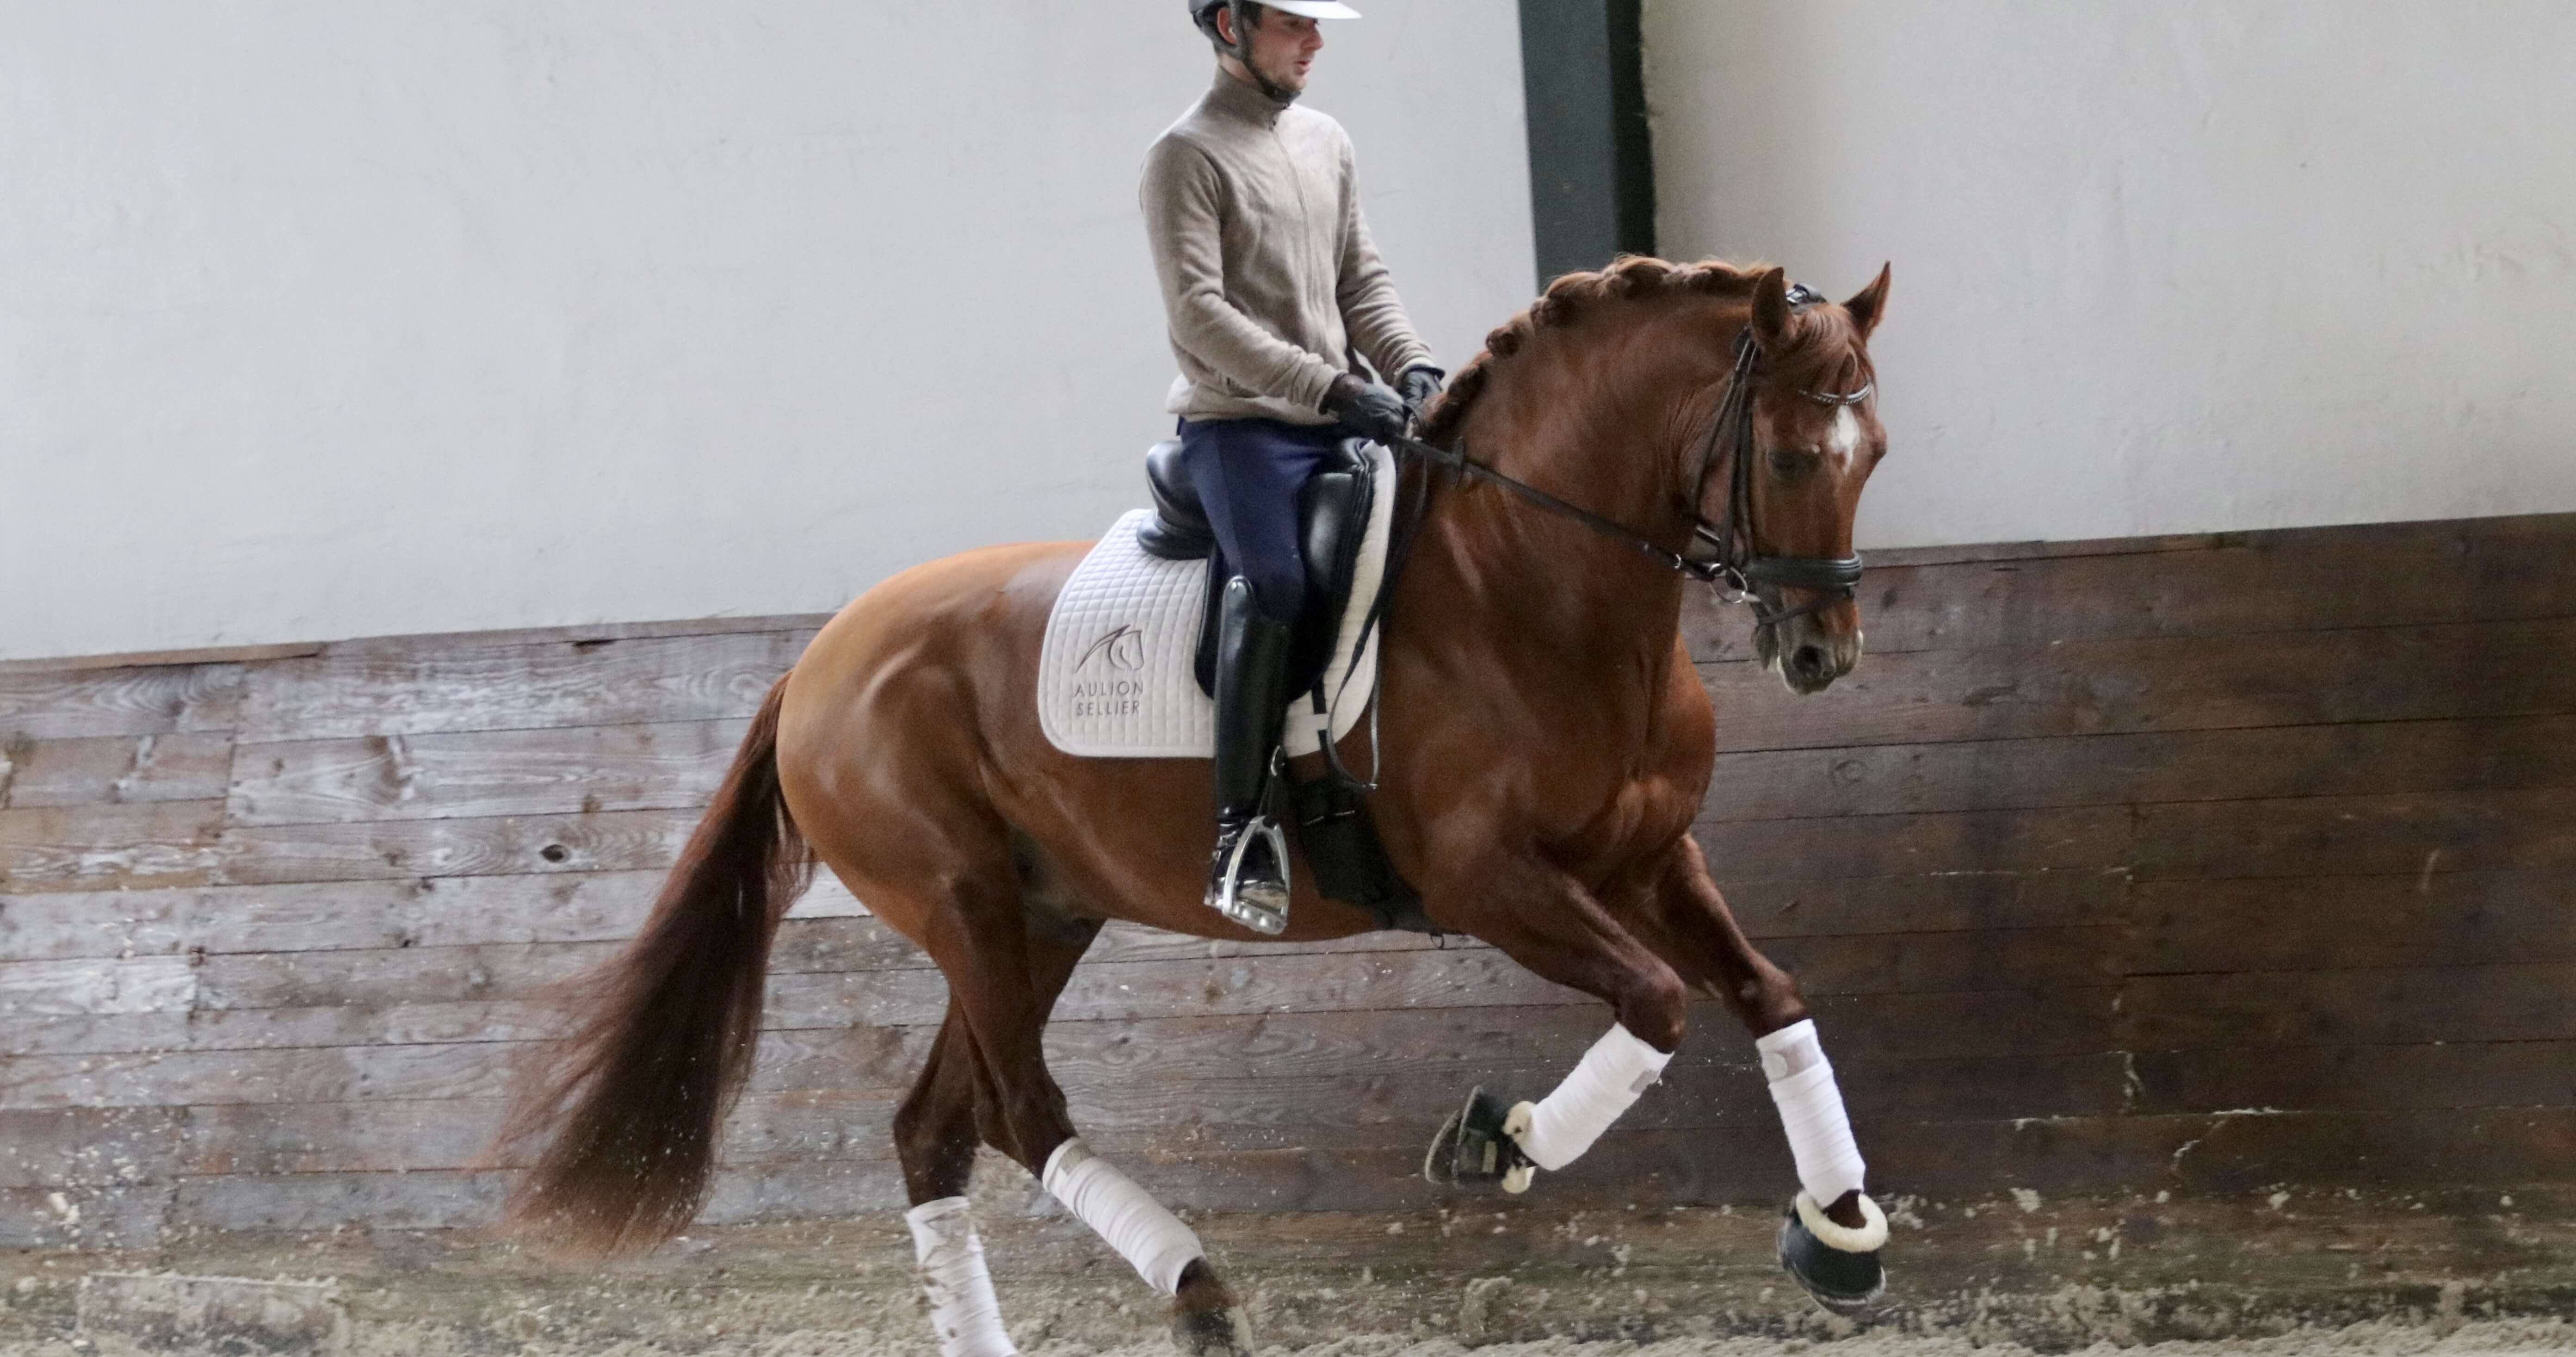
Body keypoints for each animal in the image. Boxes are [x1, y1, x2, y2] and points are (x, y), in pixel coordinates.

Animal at [498, 256, 1895, 1357]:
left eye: (1872, 453)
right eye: (1786, 453)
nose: (1820, 653)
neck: (1531, 586)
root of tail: (820, 659)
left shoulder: (1649, 858)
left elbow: (1771, 995)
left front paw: (1840, 1233)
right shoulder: (1490, 882)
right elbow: (1656, 1003)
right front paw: (1494, 1141)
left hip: (1039, 916)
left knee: (936, 1127)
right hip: (961, 903)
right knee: (1018, 1110)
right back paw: (1198, 1284)